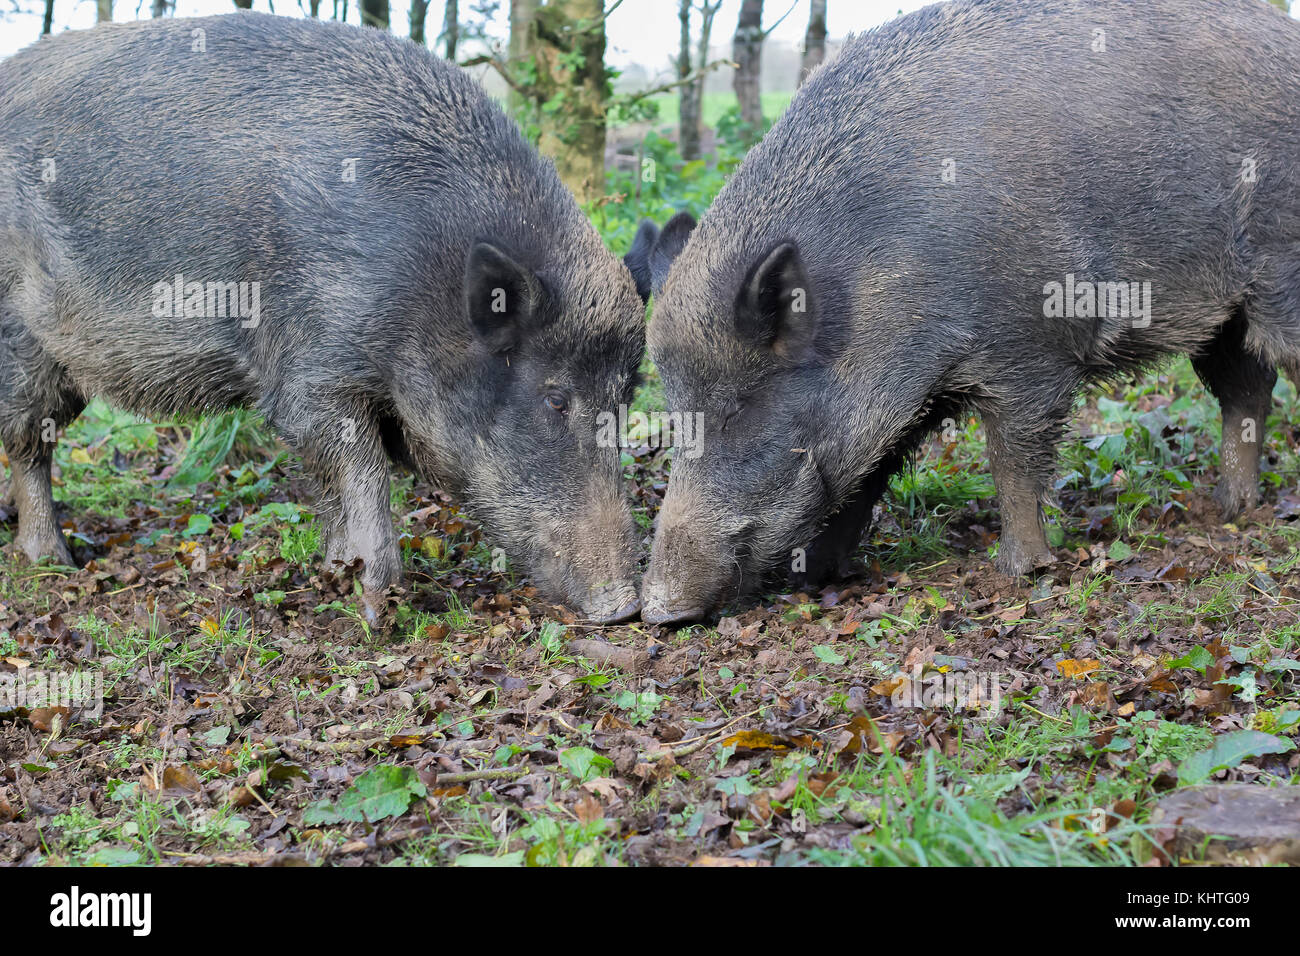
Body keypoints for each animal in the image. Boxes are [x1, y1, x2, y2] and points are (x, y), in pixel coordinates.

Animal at [0, 13, 646, 622]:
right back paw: (53, 561)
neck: (425, 279)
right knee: (29, 441)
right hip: (20, 339)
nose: (625, 606)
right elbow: (362, 473)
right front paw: (377, 604)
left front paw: (337, 574)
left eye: (627, 396)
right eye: (555, 399)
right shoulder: (311, 372)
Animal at [634, 0, 1300, 623]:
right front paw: (820, 575)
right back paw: (1232, 507)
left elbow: (1012, 461)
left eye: (739, 408)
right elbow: (864, 478)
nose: (659, 610)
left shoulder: (1031, 353)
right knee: (1246, 389)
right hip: (1226, 320)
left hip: (1277, 280)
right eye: (674, 405)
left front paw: (1022, 570)